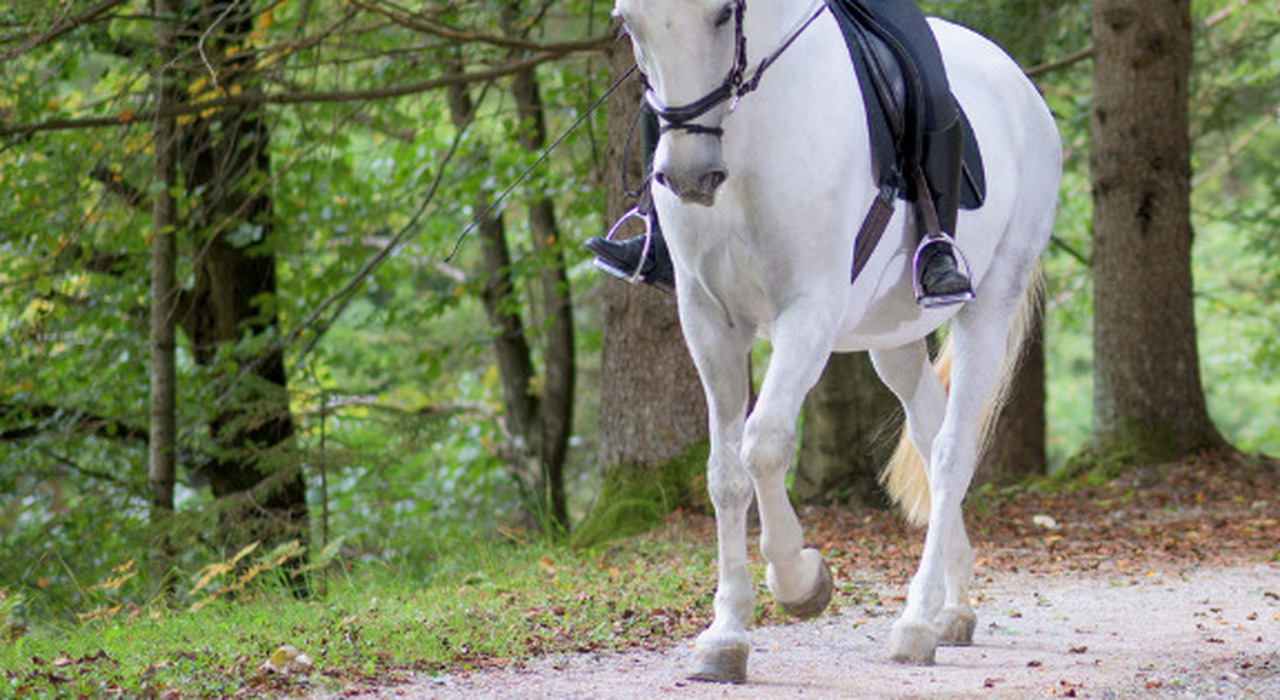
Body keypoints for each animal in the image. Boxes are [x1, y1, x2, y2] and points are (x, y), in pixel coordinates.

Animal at [611, 0, 1062, 683]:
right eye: (628, 23)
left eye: (723, 14)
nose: (690, 176)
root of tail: (1020, 84)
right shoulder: (709, 319)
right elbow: (724, 472)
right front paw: (726, 636)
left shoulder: (809, 311)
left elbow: (764, 446)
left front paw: (800, 581)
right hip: (891, 336)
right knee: (929, 435)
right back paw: (952, 609)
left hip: (990, 301)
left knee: (953, 451)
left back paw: (916, 622)